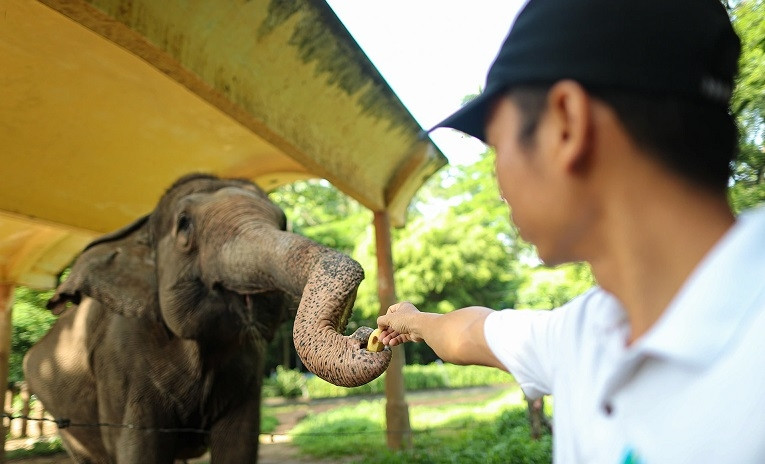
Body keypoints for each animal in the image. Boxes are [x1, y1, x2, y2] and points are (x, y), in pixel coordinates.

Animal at [23, 173, 391, 463]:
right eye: (184, 224)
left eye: (282, 221)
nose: (367, 336)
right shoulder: (118, 365)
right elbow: (139, 448)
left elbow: (239, 443)